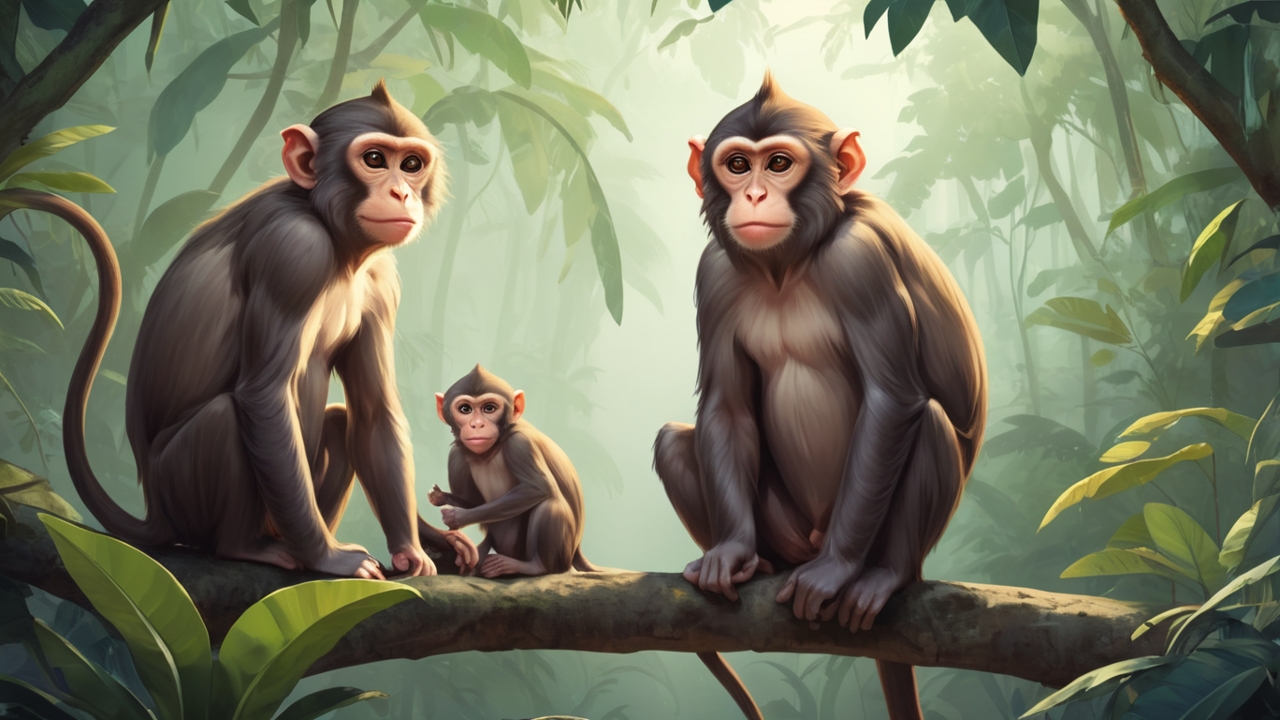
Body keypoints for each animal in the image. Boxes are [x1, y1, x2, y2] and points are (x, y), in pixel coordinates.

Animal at [45, 81, 480, 579]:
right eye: (374, 159)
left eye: (411, 165)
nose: (400, 193)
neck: (335, 238)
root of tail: (155, 512)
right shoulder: (293, 251)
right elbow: (264, 394)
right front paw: (327, 557)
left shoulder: (381, 282)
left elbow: (373, 411)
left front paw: (419, 543)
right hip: (184, 493)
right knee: (225, 418)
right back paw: (244, 546)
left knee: (339, 422)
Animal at [428, 365, 599, 578]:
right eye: (465, 409)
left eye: (489, 408)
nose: (477, 424)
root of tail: (576, 551)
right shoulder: (456, 457)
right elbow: (474, 503)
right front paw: (442, 497)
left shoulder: (521, 445)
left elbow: (537, 488)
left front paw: (456, 517)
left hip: (558, 554)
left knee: (549, 502)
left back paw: (535, 566)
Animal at [653, 73, 987, 720]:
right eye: (738, 164)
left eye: (780, 164)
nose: (756, 195)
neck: (790, 264)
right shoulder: (716, 273)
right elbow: (726, 408)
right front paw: (731, 551)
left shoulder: (862, 261)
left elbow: (891, 399)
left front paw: (838, 570)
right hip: (785, 532)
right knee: (677, 443)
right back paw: (759, 562)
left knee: (927, 420)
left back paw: (883, 574)